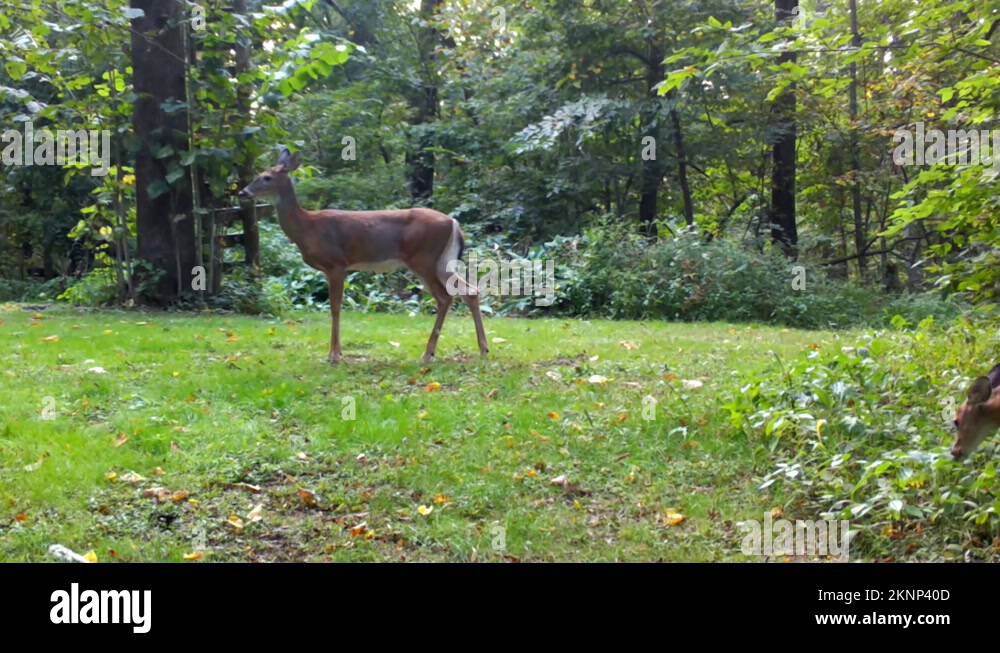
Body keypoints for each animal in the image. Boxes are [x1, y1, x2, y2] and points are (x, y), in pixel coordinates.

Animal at [238, 147, 489, 365]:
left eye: (266, 177)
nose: (243, 192)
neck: (307, 228)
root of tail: (454, 223)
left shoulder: (337, 264)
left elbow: (335, 307)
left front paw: (334, 355)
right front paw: (335, 353)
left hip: (423, 258)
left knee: (445, 297)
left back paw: (429, 354)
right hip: (443, 260)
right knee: (469, 291)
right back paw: (483, 349)